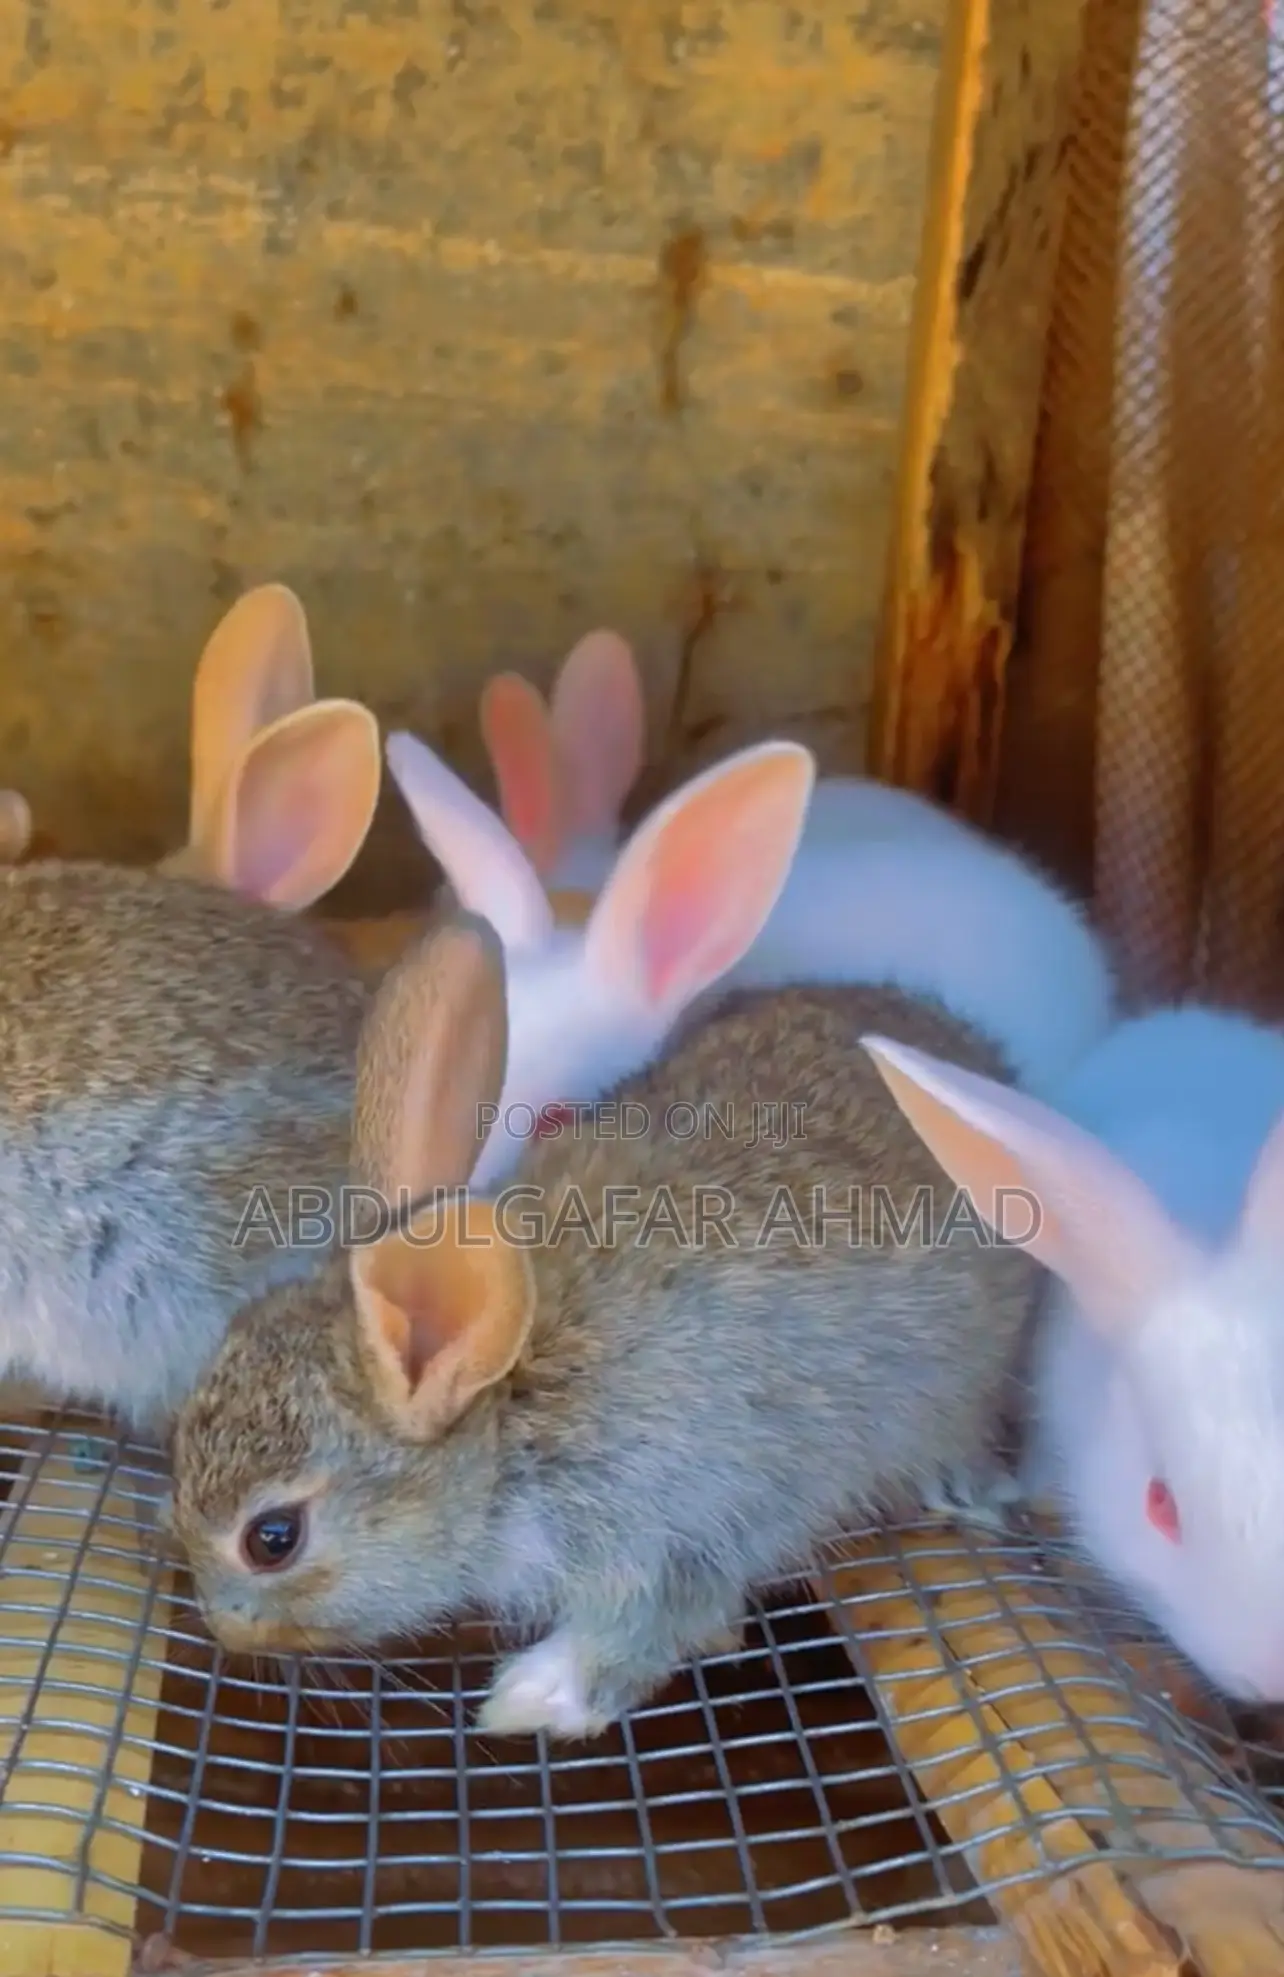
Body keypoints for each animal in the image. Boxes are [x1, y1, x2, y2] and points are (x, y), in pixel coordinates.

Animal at [167, 907, 1042, 1740]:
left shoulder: (686, 1522)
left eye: (272, 1537)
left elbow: (654, 1623)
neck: (507, 1419)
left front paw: (531, 1698)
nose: (224, 1625)